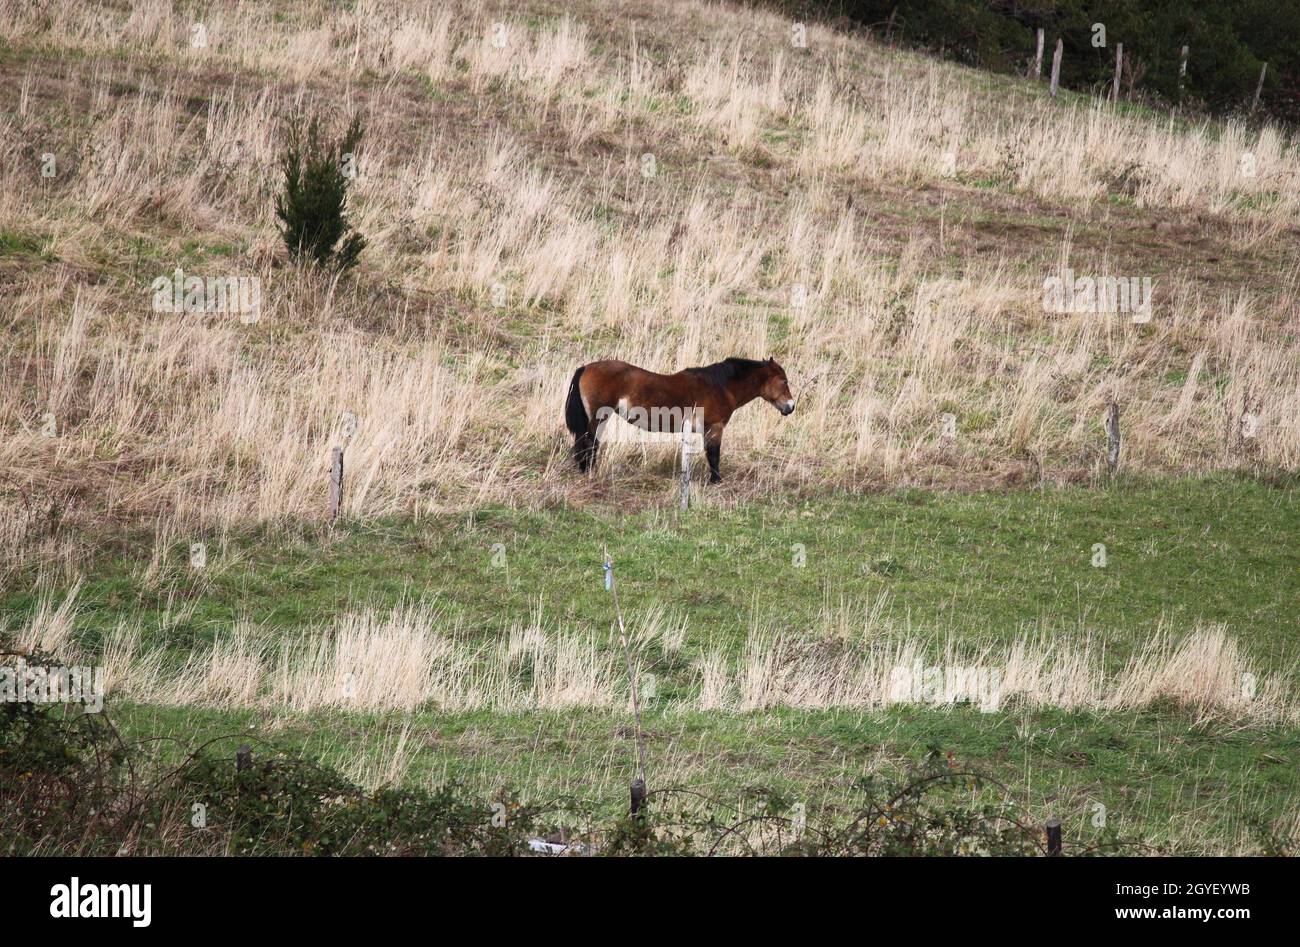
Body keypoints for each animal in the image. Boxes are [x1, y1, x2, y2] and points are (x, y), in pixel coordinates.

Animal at [564, 357, 795, 483]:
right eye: (784, 381)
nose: (791, 407)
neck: (720, 386)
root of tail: (586, 367)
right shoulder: (714, 427)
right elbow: (714, 455)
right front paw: (716, 481)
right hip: (598, 417)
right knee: (589, 443)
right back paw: (589, 471)